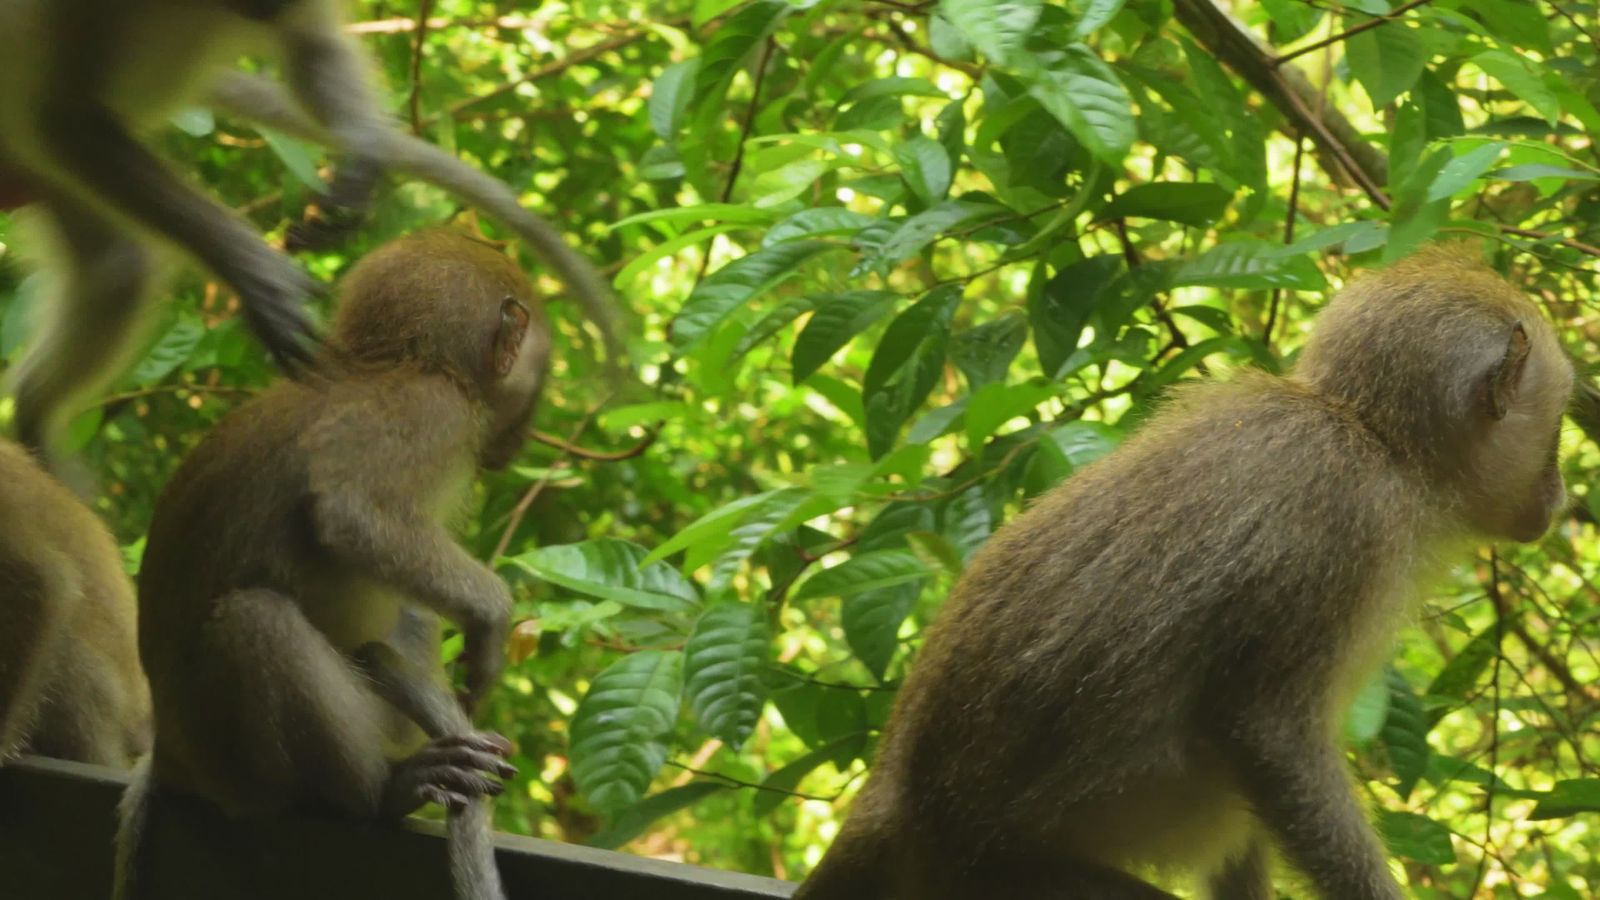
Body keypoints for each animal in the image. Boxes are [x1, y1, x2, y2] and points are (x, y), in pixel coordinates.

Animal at [0, 0, 622, 472]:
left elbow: (310, 41)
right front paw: (251, 268)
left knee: (117, 268)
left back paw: (34, 417)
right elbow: (68, 118)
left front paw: (361, 165)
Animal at [114, 229, 551, 900]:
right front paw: (492, 622)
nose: (527, 431)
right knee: (256, 619)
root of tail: (173, 757)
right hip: (234, 765)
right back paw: (381, 793)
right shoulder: (434, 413)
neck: (390, 362)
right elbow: (348, 512)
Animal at [795, 245, 1573, 900]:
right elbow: (1265, 733)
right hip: (998, 877)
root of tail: (900, 798)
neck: (1367, 432)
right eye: (1557, 428)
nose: (1562, 491)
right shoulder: (1347, 527)